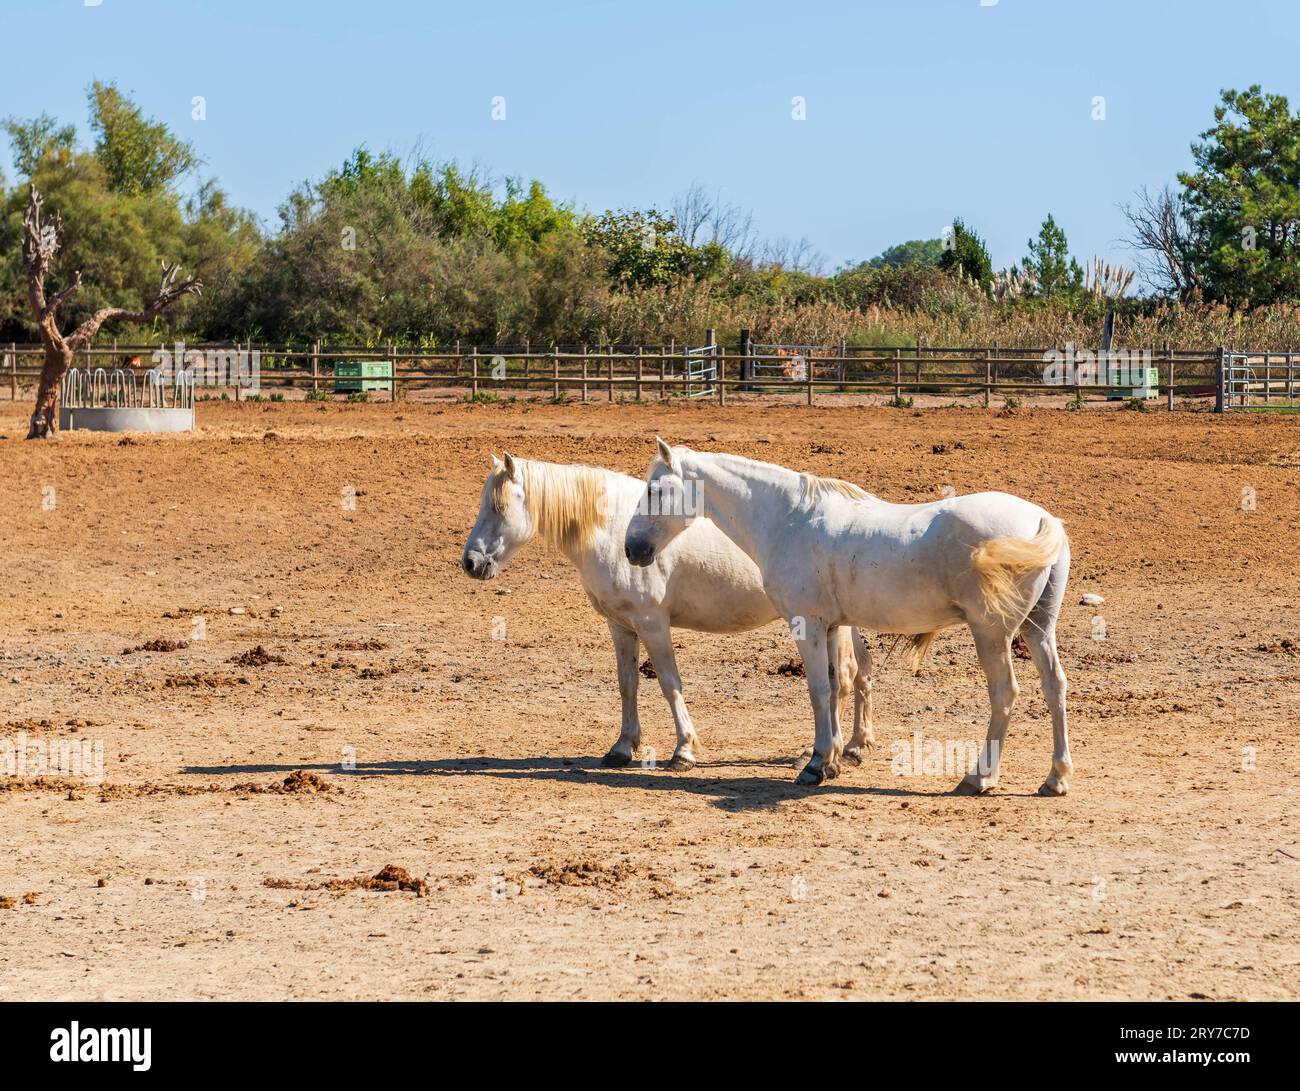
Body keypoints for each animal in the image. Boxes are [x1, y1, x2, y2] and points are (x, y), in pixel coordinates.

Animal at [462, 453, 875, 769]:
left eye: (499, 507)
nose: (471, 562)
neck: (611, 530)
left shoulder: (652, 623)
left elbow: (668, 683)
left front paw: (684, 750)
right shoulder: (620, 625)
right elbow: (627, 683)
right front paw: (623, 746)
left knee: (844, 678)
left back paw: (823, 752)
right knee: (859, 674)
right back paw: (854, 746)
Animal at [624, 439, 1073, 796]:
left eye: (655, 489)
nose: (633, 550)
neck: (789, 520)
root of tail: (1041, 518)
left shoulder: (806, 624)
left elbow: (819, 690)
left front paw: (816, 763)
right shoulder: (833, 625)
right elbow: (839, 683)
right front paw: (835, 758)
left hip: (991, 633)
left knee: (1004, 694)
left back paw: (979, 777)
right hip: (1038, 629)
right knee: (1054, 687)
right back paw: (1056, 777)